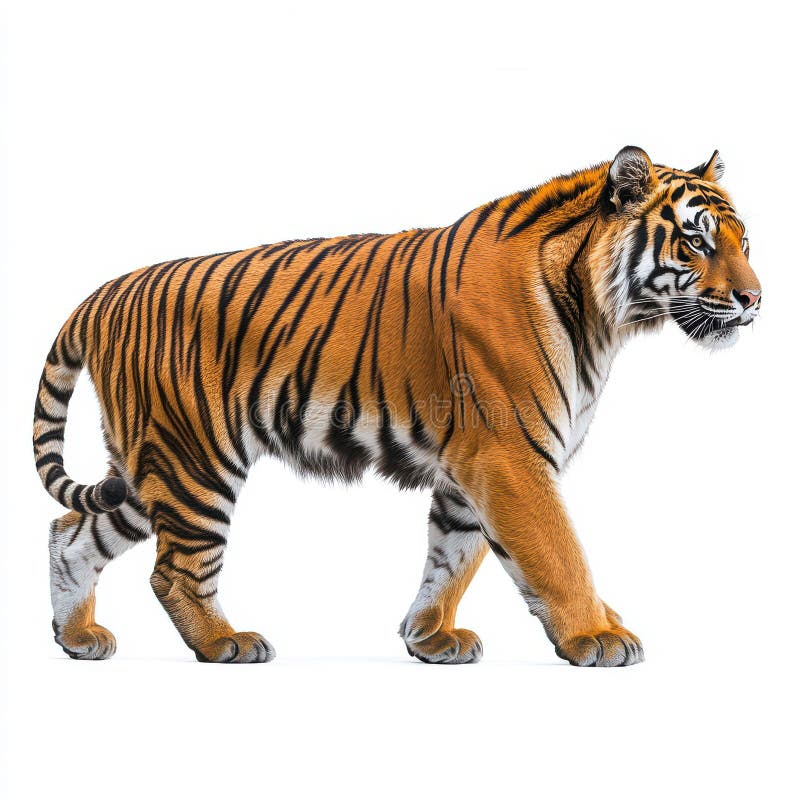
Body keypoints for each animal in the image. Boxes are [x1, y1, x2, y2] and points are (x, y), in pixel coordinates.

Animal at [34, 145, 761, 666]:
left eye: (743, 242)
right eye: (697, 242)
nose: (755, 298)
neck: (603, 316)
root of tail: (104, 293)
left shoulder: (471, 466)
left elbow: (454, 555)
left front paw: (429, 636)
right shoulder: (510, 455)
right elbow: (557, 551)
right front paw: (597, 635)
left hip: (144, 466)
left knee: (71, 532)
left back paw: (78, 637)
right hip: (195, 461)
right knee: (175, 571)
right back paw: (224, 643)